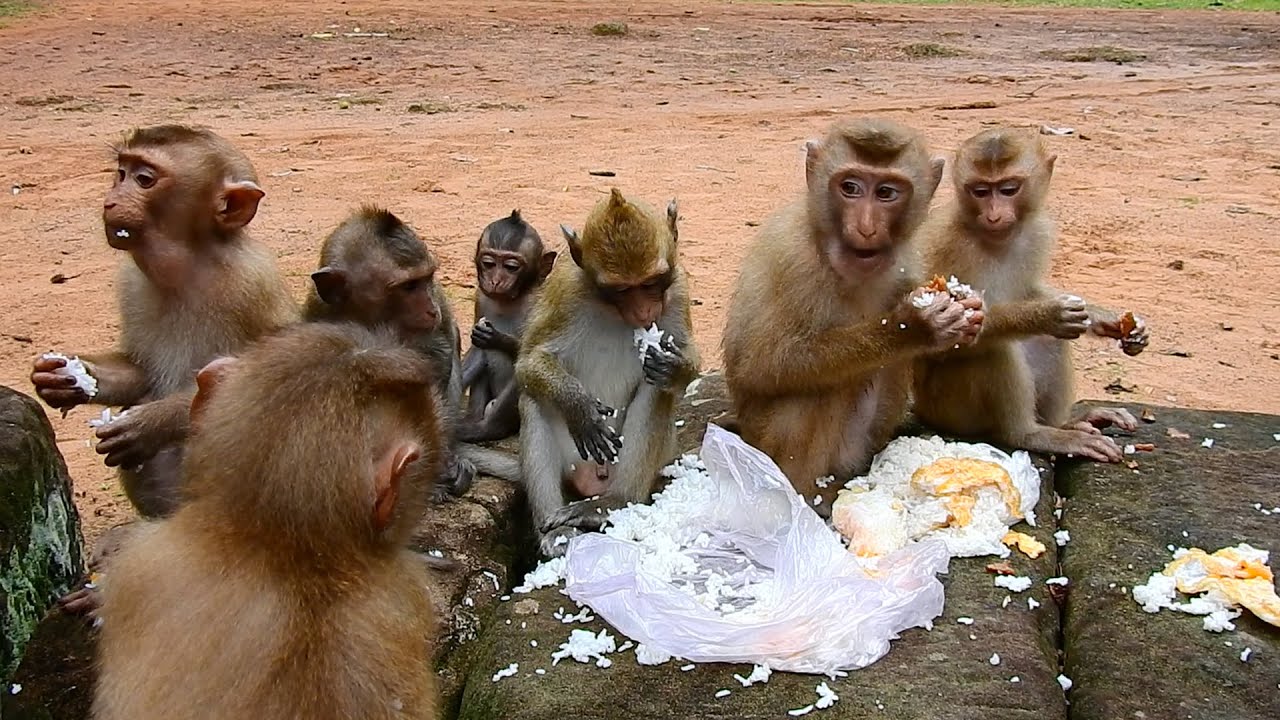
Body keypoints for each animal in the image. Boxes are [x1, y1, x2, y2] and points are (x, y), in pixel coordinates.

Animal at [30, 124, 297, 519]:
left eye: (145, 180)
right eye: (121, 174)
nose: (111, 201)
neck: (186, 266)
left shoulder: (253, 284)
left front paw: (150, 423)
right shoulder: (130, 283)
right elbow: (139, 372)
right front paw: (62, 379)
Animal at [457, 210, 557, 442]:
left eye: (511, 267)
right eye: (489, 263)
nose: (495, 281)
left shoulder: (540, 303)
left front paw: (497, 338)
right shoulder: (481, 298)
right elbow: (477, 347)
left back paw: (488, 429)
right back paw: (473, 419)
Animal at [517, 188, 700, 557]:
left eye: (652, 282)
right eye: (621, 290)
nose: (644, 312)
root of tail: (594, 478)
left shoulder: (678, 293)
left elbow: (687, 361)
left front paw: (675, 367)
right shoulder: (566, 292)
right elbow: (529, 362)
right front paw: (578, 407)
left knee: (654, 390)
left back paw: (614, 502)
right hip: (573, 458)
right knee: (533, 399)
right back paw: (555, 533)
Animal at [721, 118, 985, 508]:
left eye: (886, 192)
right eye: (850, 188)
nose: (866, 227)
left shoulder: (910, 263)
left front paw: (972, 315)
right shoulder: (793, 259)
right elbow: (762, 364)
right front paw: (913, 326)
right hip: (764, 443)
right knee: (819, 387)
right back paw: (805, 497)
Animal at [911, 127, 1150, 463]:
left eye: (1009, 189)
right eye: (980, 191)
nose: (994, 216)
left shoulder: (1036, 233)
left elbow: (1030, 290)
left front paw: (1107, 320)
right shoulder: (948, 244)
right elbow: (950, 337)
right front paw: (1047, 315)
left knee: (1050, 342)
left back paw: (1067, 423)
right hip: (948, 410)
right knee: (992, 349)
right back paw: (1029, 434)